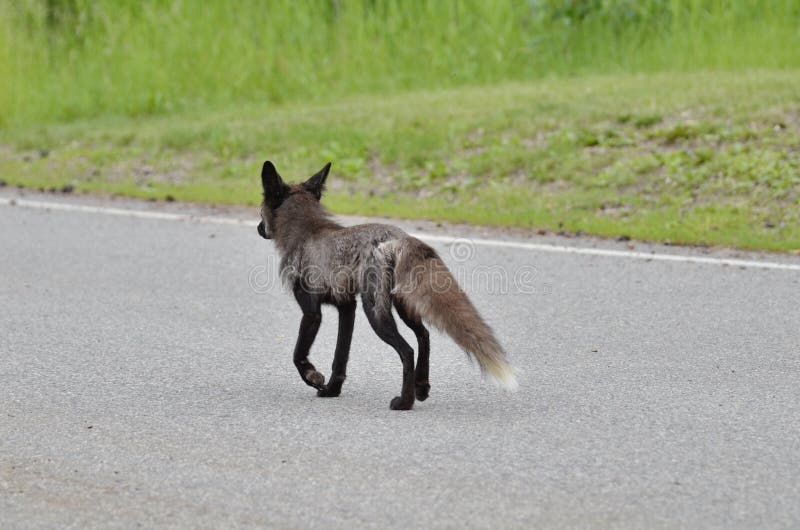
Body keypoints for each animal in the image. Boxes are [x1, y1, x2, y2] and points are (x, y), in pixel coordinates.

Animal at [257, 160, 517, 410]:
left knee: (407, 350)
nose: (259, 229)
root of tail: (400, 237)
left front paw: (313, 377)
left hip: (375, 312)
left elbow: (298, 354)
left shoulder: (312, 310)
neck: (306, 233)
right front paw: (332, 390)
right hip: (402, 305)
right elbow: (340, 357)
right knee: (424, 336)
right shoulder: (347, 307)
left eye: (260, 211)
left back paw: (404, 402)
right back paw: (421, 387)